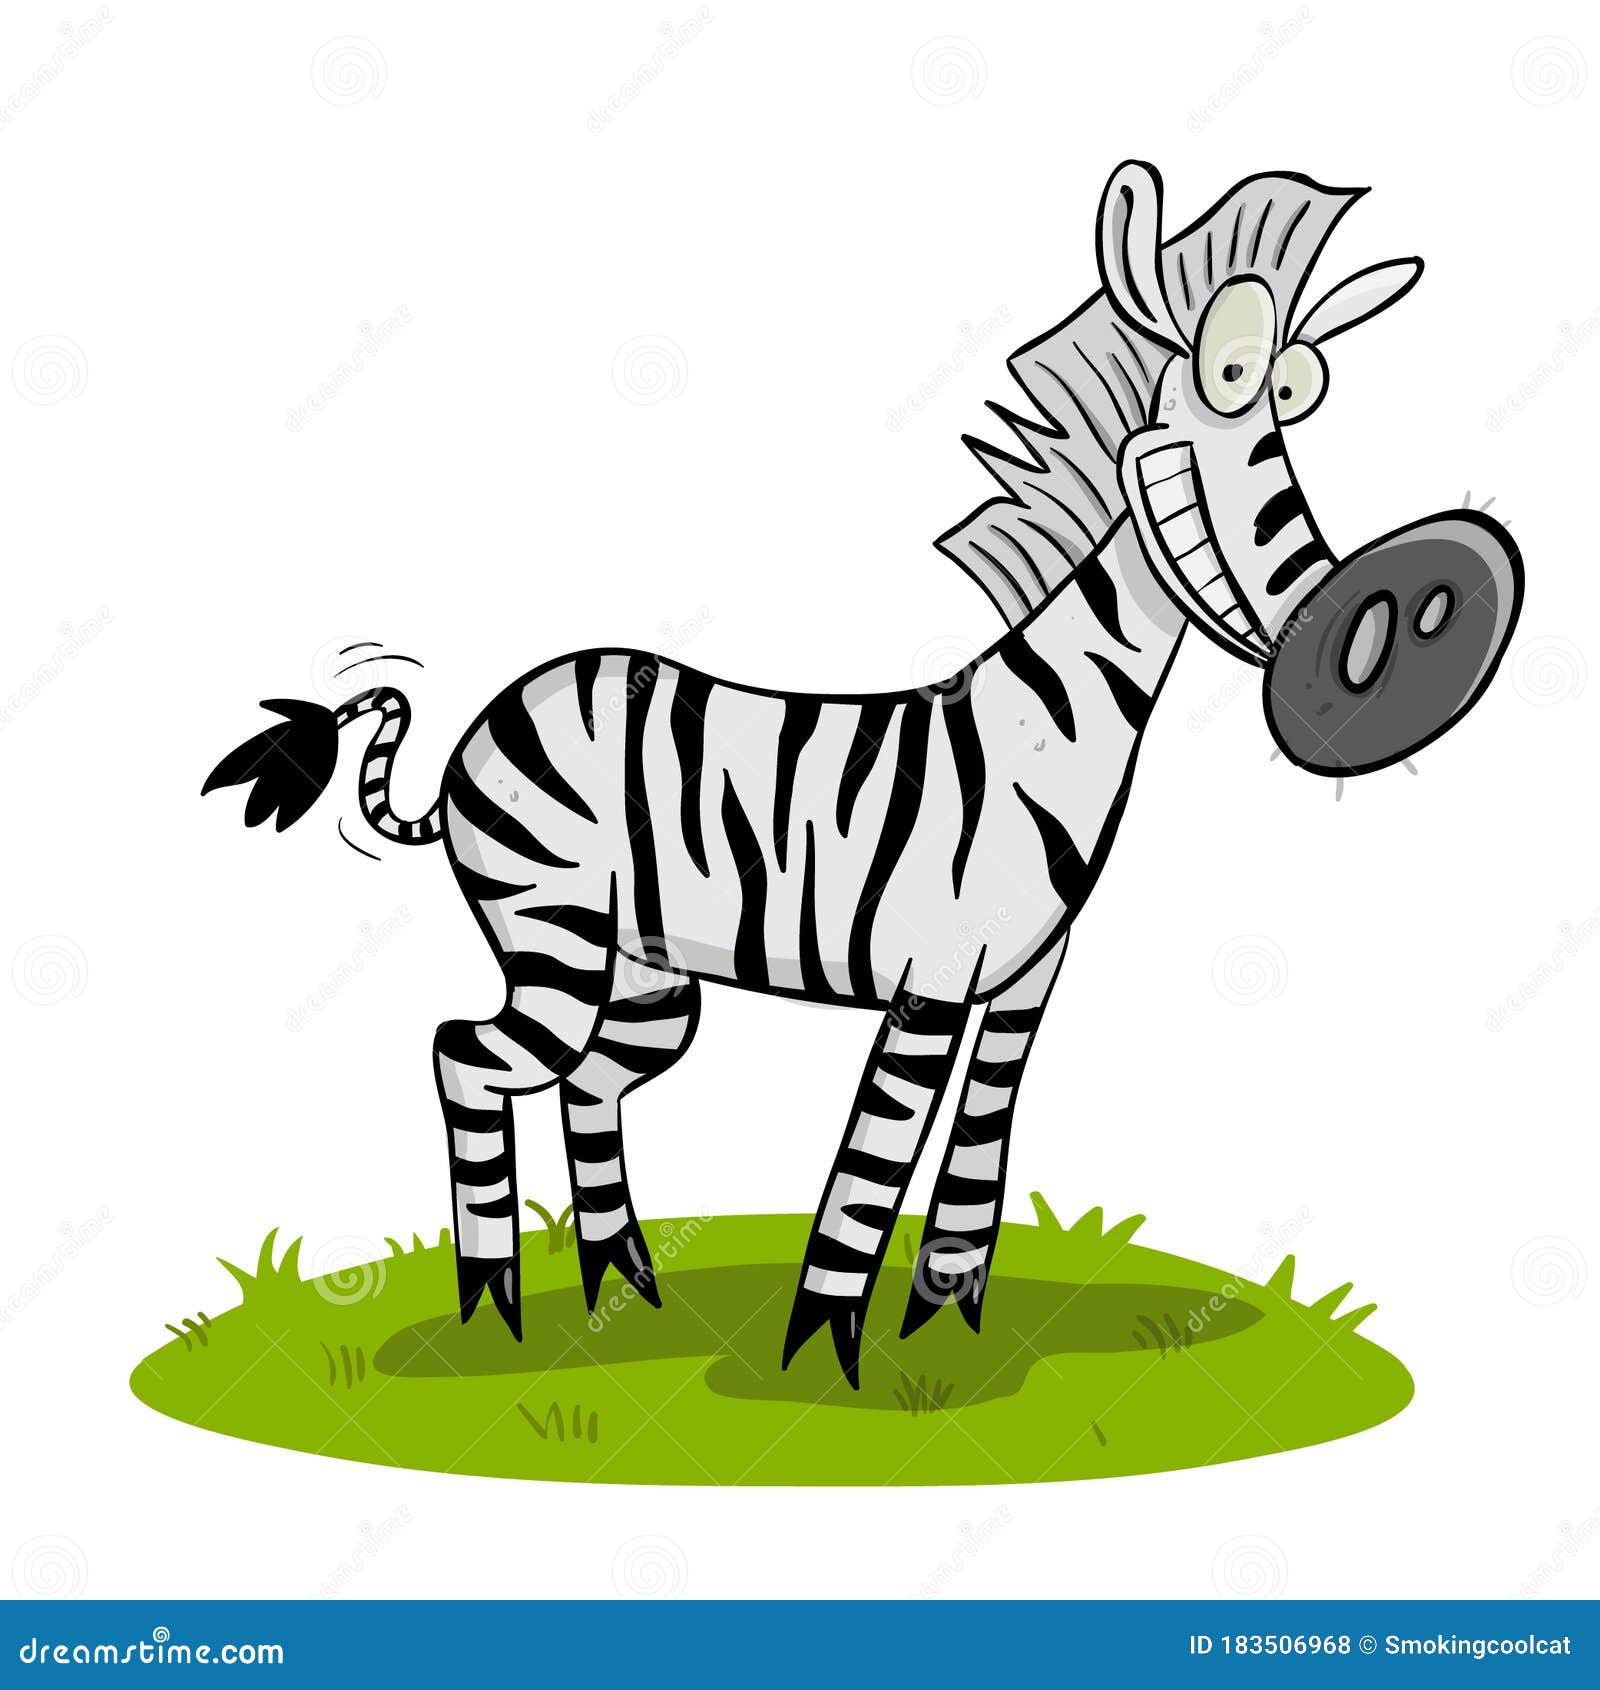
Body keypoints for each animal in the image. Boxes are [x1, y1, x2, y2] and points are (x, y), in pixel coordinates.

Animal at [204, 161, 1522, 1385]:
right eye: (1229, 393)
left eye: (1298, 400)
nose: (1378, 615)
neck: (1063, 717)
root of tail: (485, 725)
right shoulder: (929, 979)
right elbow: (875, 1160)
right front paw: (822, 1353)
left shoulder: (1027, 982)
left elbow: (978, 1151)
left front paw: (945, 1328)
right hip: (555, 937)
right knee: (462, 1054)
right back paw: (496, 1305)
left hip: (648, 980)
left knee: (588, 1087)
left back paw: (622, 1288)